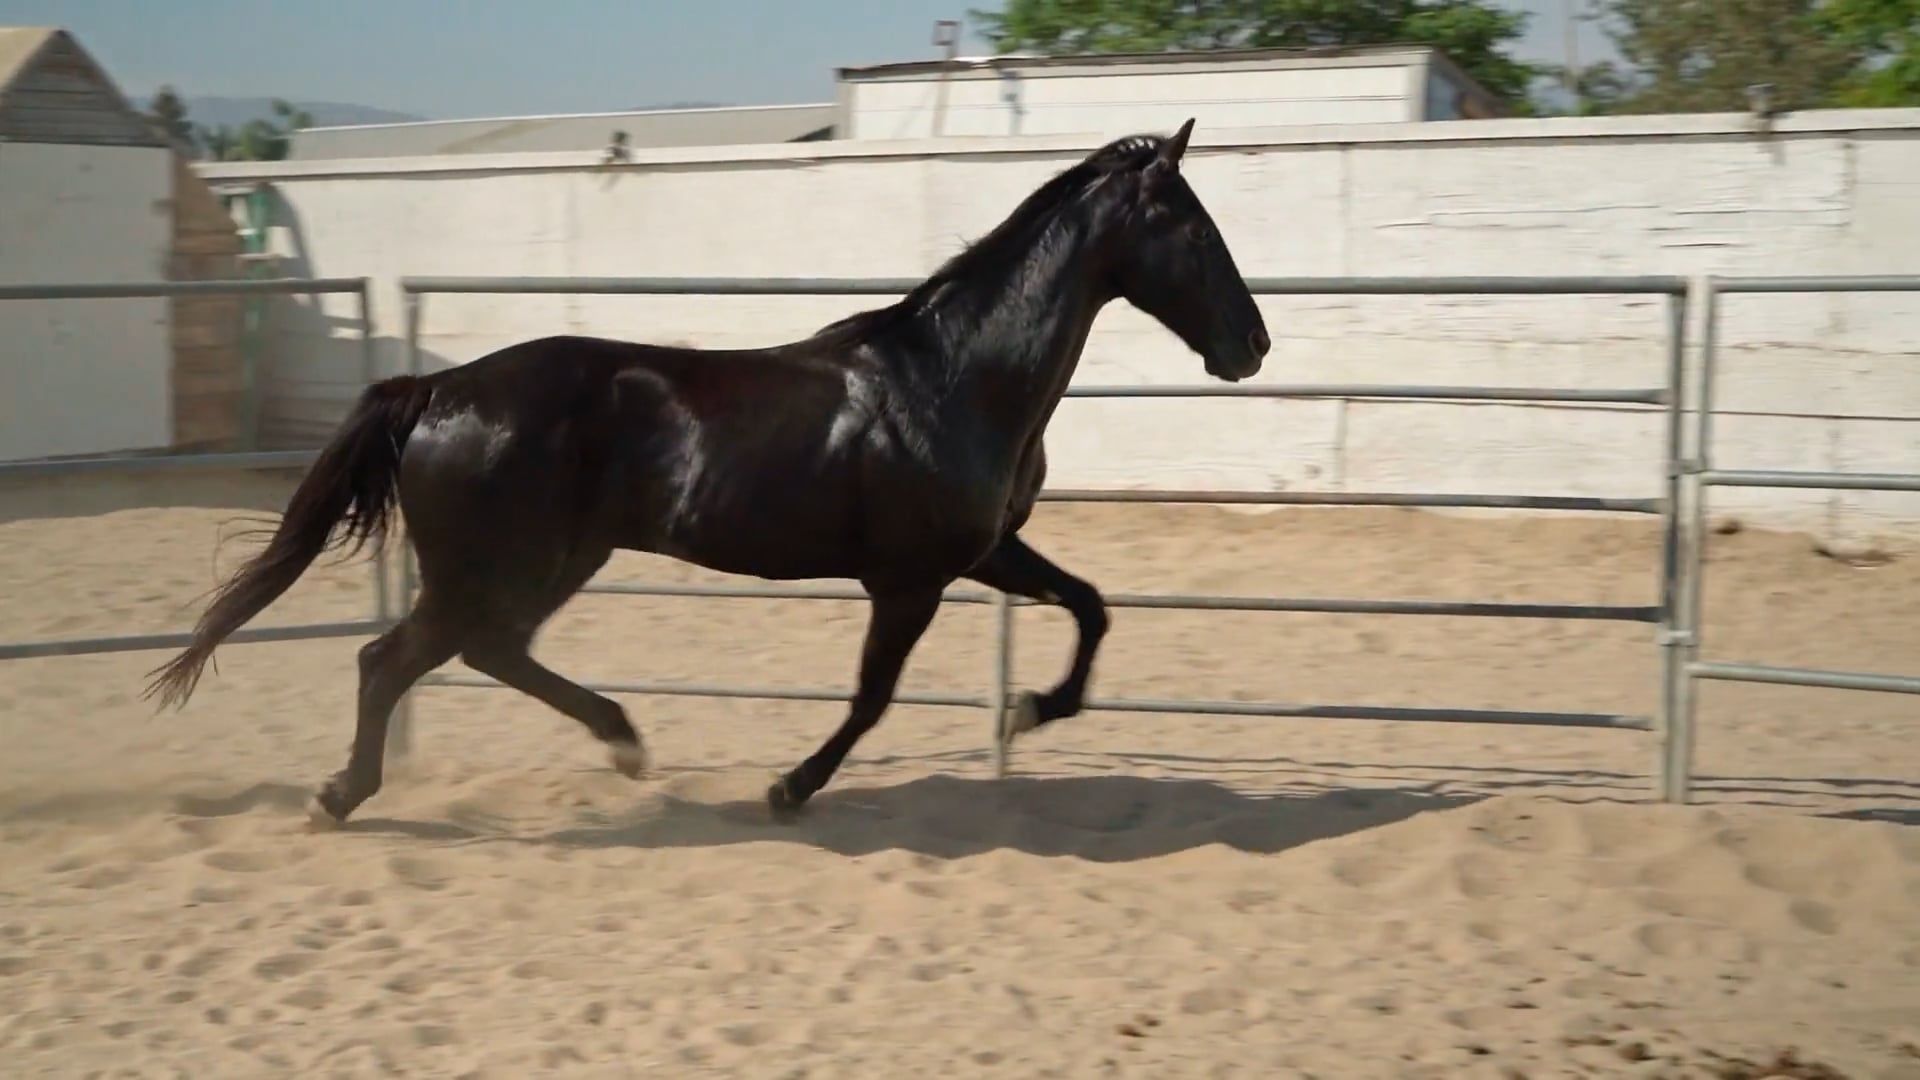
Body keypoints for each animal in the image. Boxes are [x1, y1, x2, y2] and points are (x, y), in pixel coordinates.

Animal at [144, 118, 1271, 827]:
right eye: (1192, 229)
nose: (1251, 345)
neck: (953, 376)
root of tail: (436, 390)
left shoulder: (985, 550)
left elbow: (1091, 606)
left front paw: (1029, 709)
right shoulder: (908, 579)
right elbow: (871, 698)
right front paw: (788, 790)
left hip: (555, 562)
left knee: (489, 653)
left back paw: (624, 743)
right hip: (490, 568)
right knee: (394, 660)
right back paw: (343, 797)